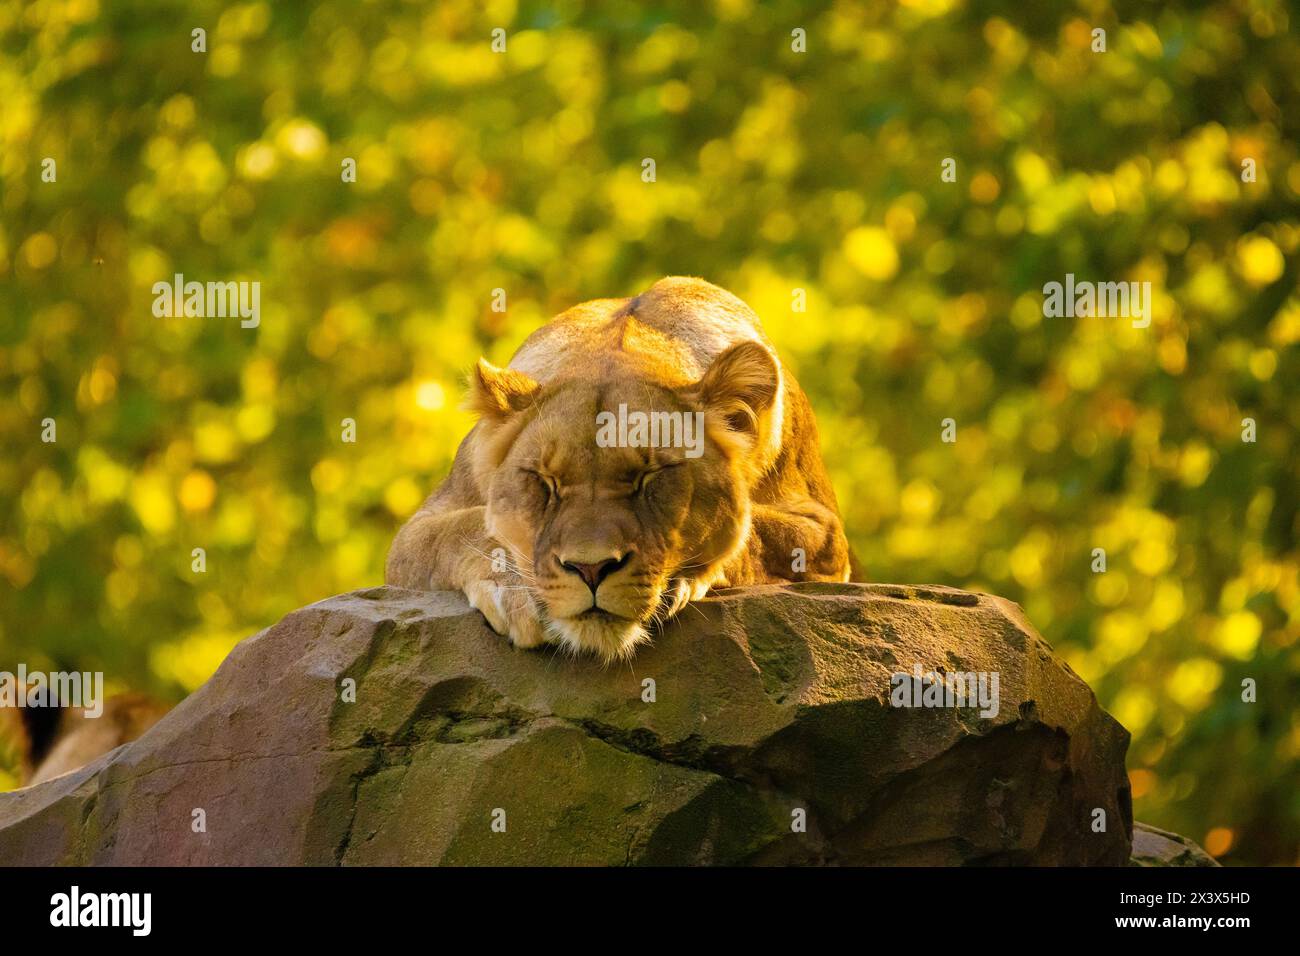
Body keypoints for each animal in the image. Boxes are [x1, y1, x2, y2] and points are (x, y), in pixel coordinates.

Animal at [385, 276, 851, 662]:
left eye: (649, 478)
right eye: (546, 482)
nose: (591, 569)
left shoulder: (825, 537)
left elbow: (753, 533)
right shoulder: (416, 534)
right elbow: (465, 529)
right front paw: (516, 590)